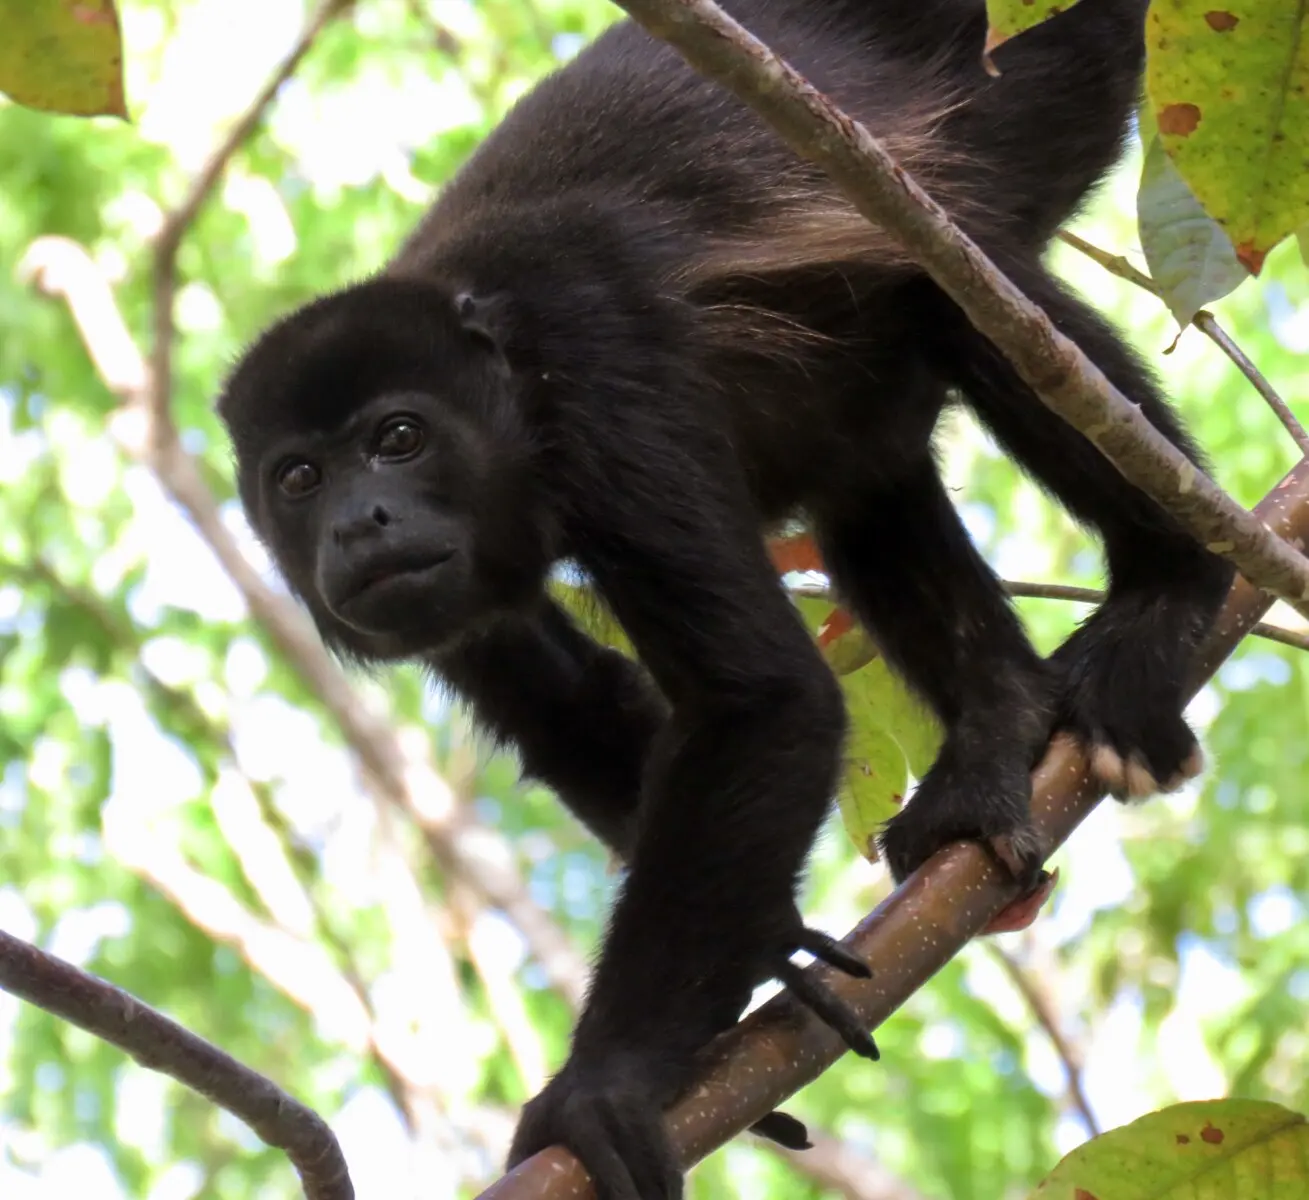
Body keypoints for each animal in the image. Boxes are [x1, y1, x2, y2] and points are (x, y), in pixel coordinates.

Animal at [216, 2, 1235, 1196]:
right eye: (299, 477)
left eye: (399, 438)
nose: (357, 523)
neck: (504, 381)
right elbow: (574, 705)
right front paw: (771, 950)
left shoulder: (597, 363)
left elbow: (762, 701)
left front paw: (598, 1088)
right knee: (872, 458)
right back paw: (997, 736)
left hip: (1042, 69)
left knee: (965, 281)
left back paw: (1174, 585)